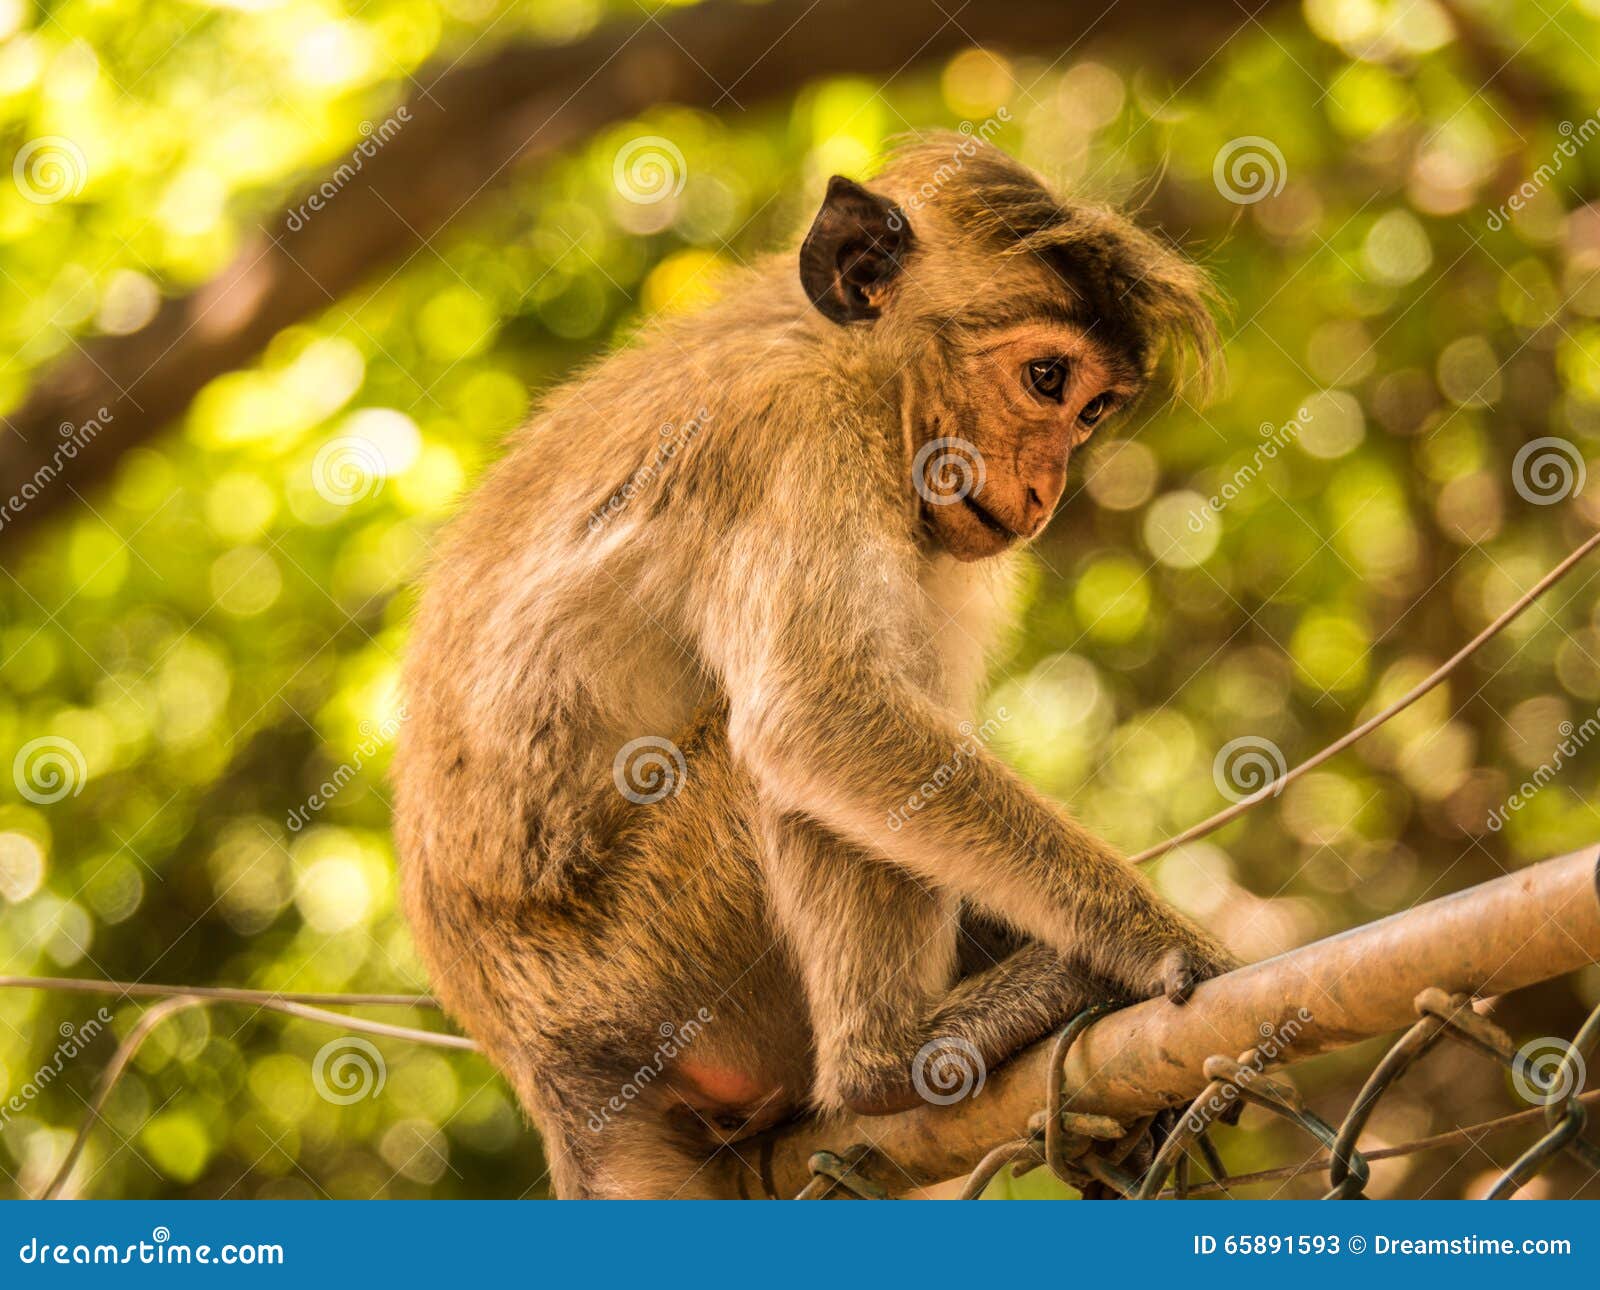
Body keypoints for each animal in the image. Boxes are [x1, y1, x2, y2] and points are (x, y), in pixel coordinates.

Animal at [391, 136, 1238, 1199]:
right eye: (1045, 377)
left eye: (1091, 411)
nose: (1047, 489)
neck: (847, 358)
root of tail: (546, 1069)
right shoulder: (801, 430)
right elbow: (818, 712)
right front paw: (1152, 940)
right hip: (650, 972)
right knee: (786, 756)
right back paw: (891, 1057)